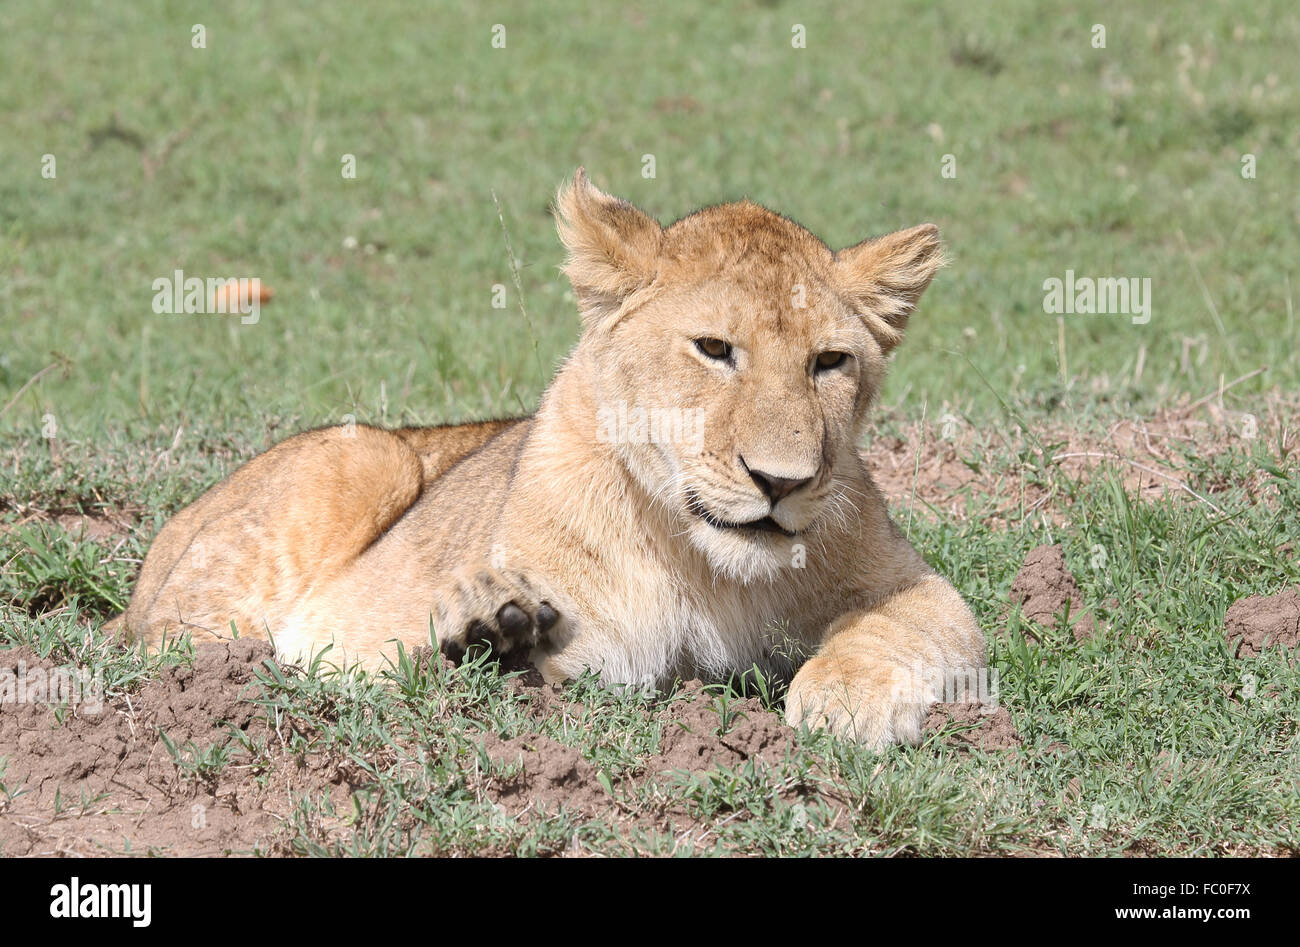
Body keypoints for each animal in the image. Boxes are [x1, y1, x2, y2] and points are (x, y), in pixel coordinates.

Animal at [109, 169, 985, 748]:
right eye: (713, 349)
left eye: (830, 362)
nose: (782, 481)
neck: (709, 566)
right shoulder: (600, 647)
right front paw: (498, 639)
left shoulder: (916, 585)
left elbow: (900, 626)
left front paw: (845, 702)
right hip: (365, 457)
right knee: (179, 648)